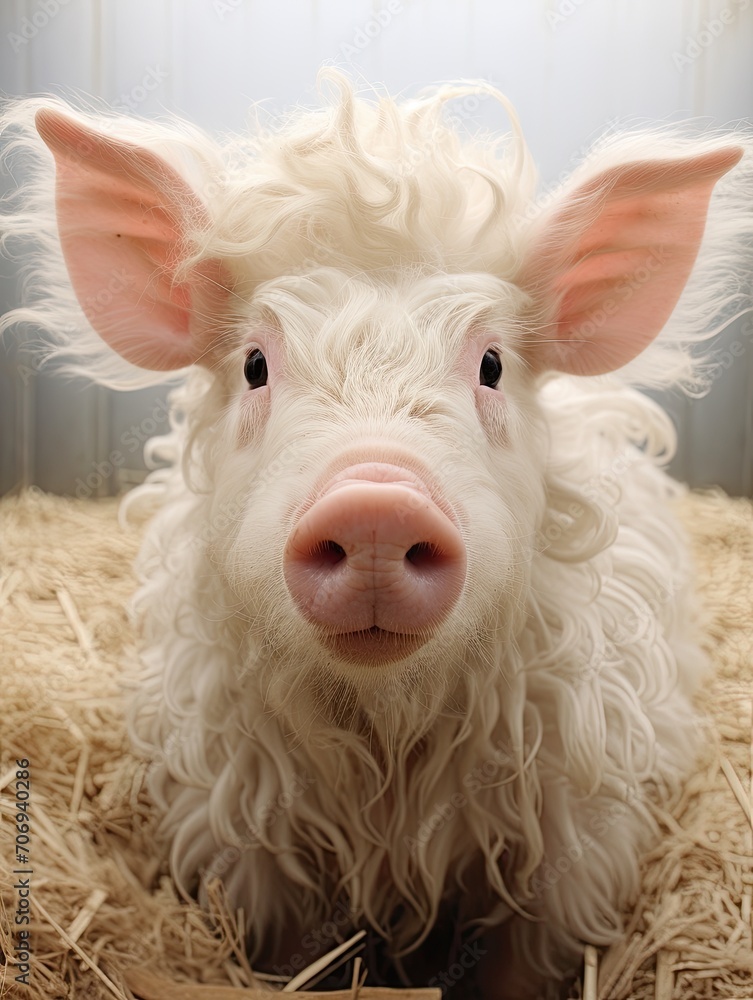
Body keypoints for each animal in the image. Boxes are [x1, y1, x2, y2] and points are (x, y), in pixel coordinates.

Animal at [2, 71, 751, 999]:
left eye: (491, 364)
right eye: (254, 364)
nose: (375, 505)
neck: (386, 745)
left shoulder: (576, 849)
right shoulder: (243, 841)